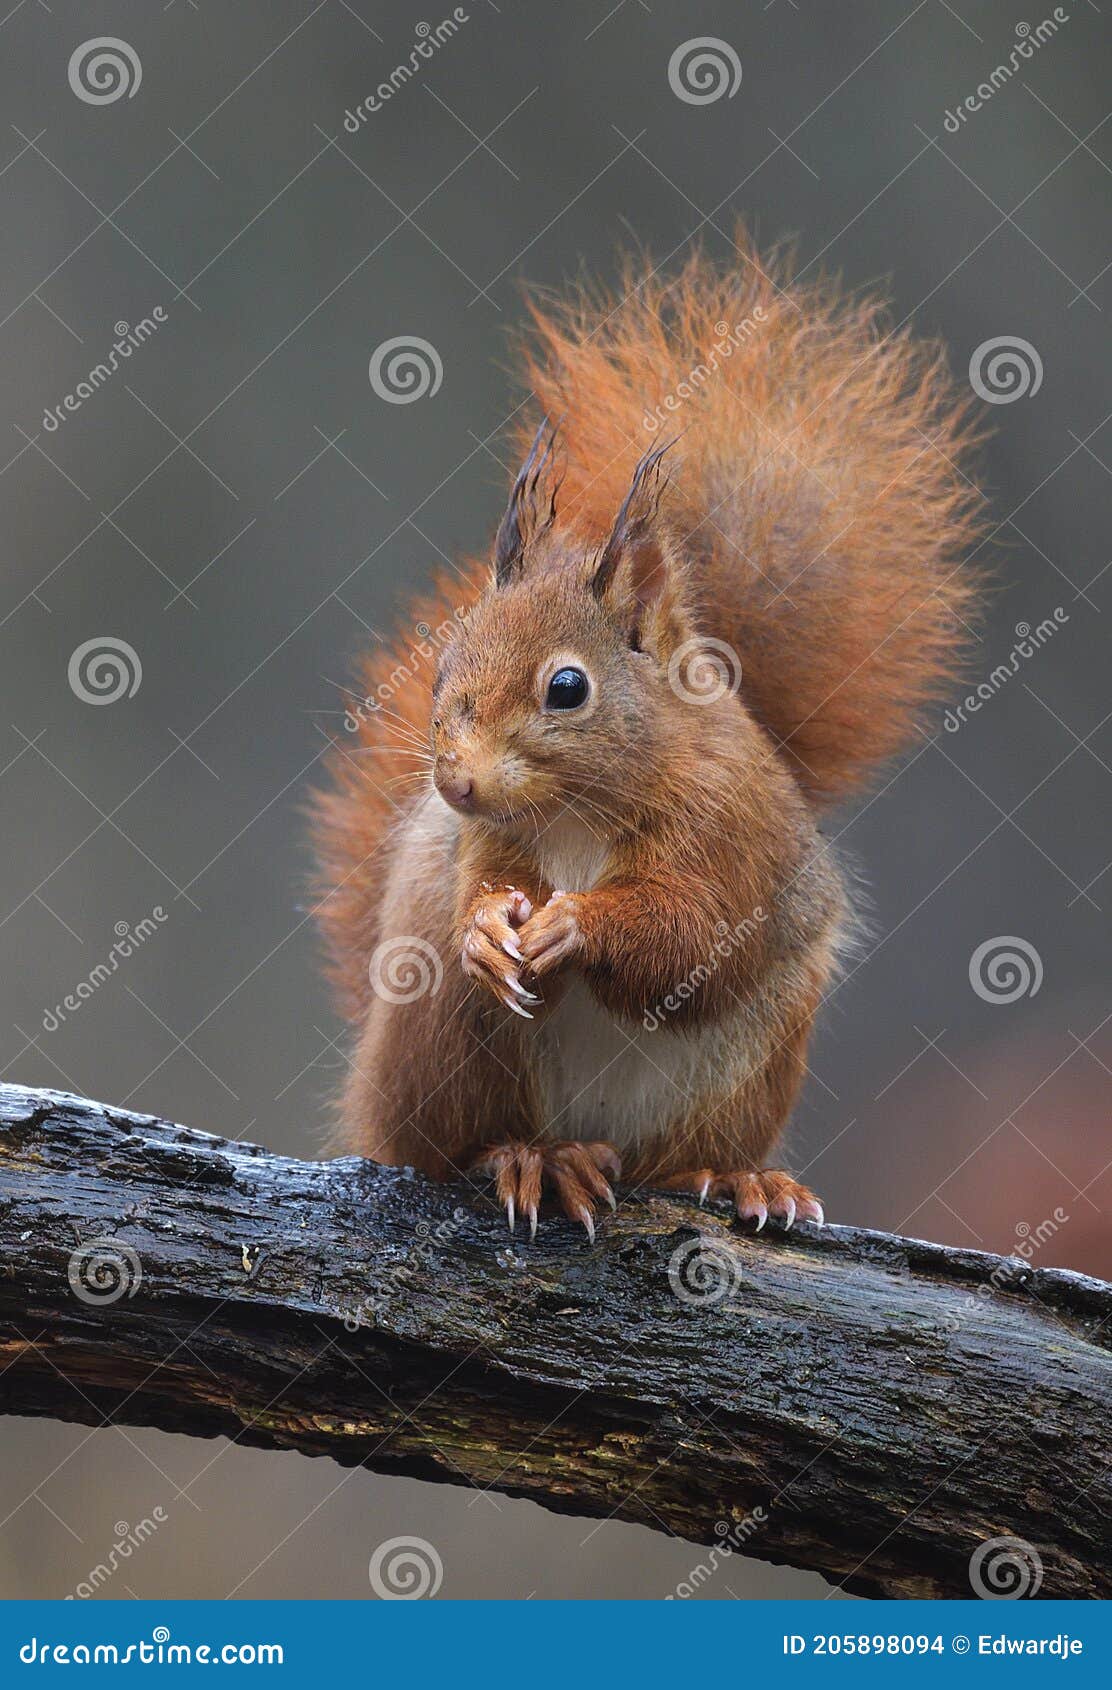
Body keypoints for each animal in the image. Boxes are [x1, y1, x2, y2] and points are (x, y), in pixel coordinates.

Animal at [311, 235, 983, 1239]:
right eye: (440, 671)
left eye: (567, 688)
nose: (456, 785)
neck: (577, 810)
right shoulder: (491, 844)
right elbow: (486, 890)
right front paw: (489, 929)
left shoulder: (728, 835)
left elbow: (688, 934)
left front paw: (575, 925)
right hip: (448, 1039)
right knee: (448, 1144)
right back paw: (530, 1157)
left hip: (748, 1065)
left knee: (674, 1159)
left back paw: (735, 1178)